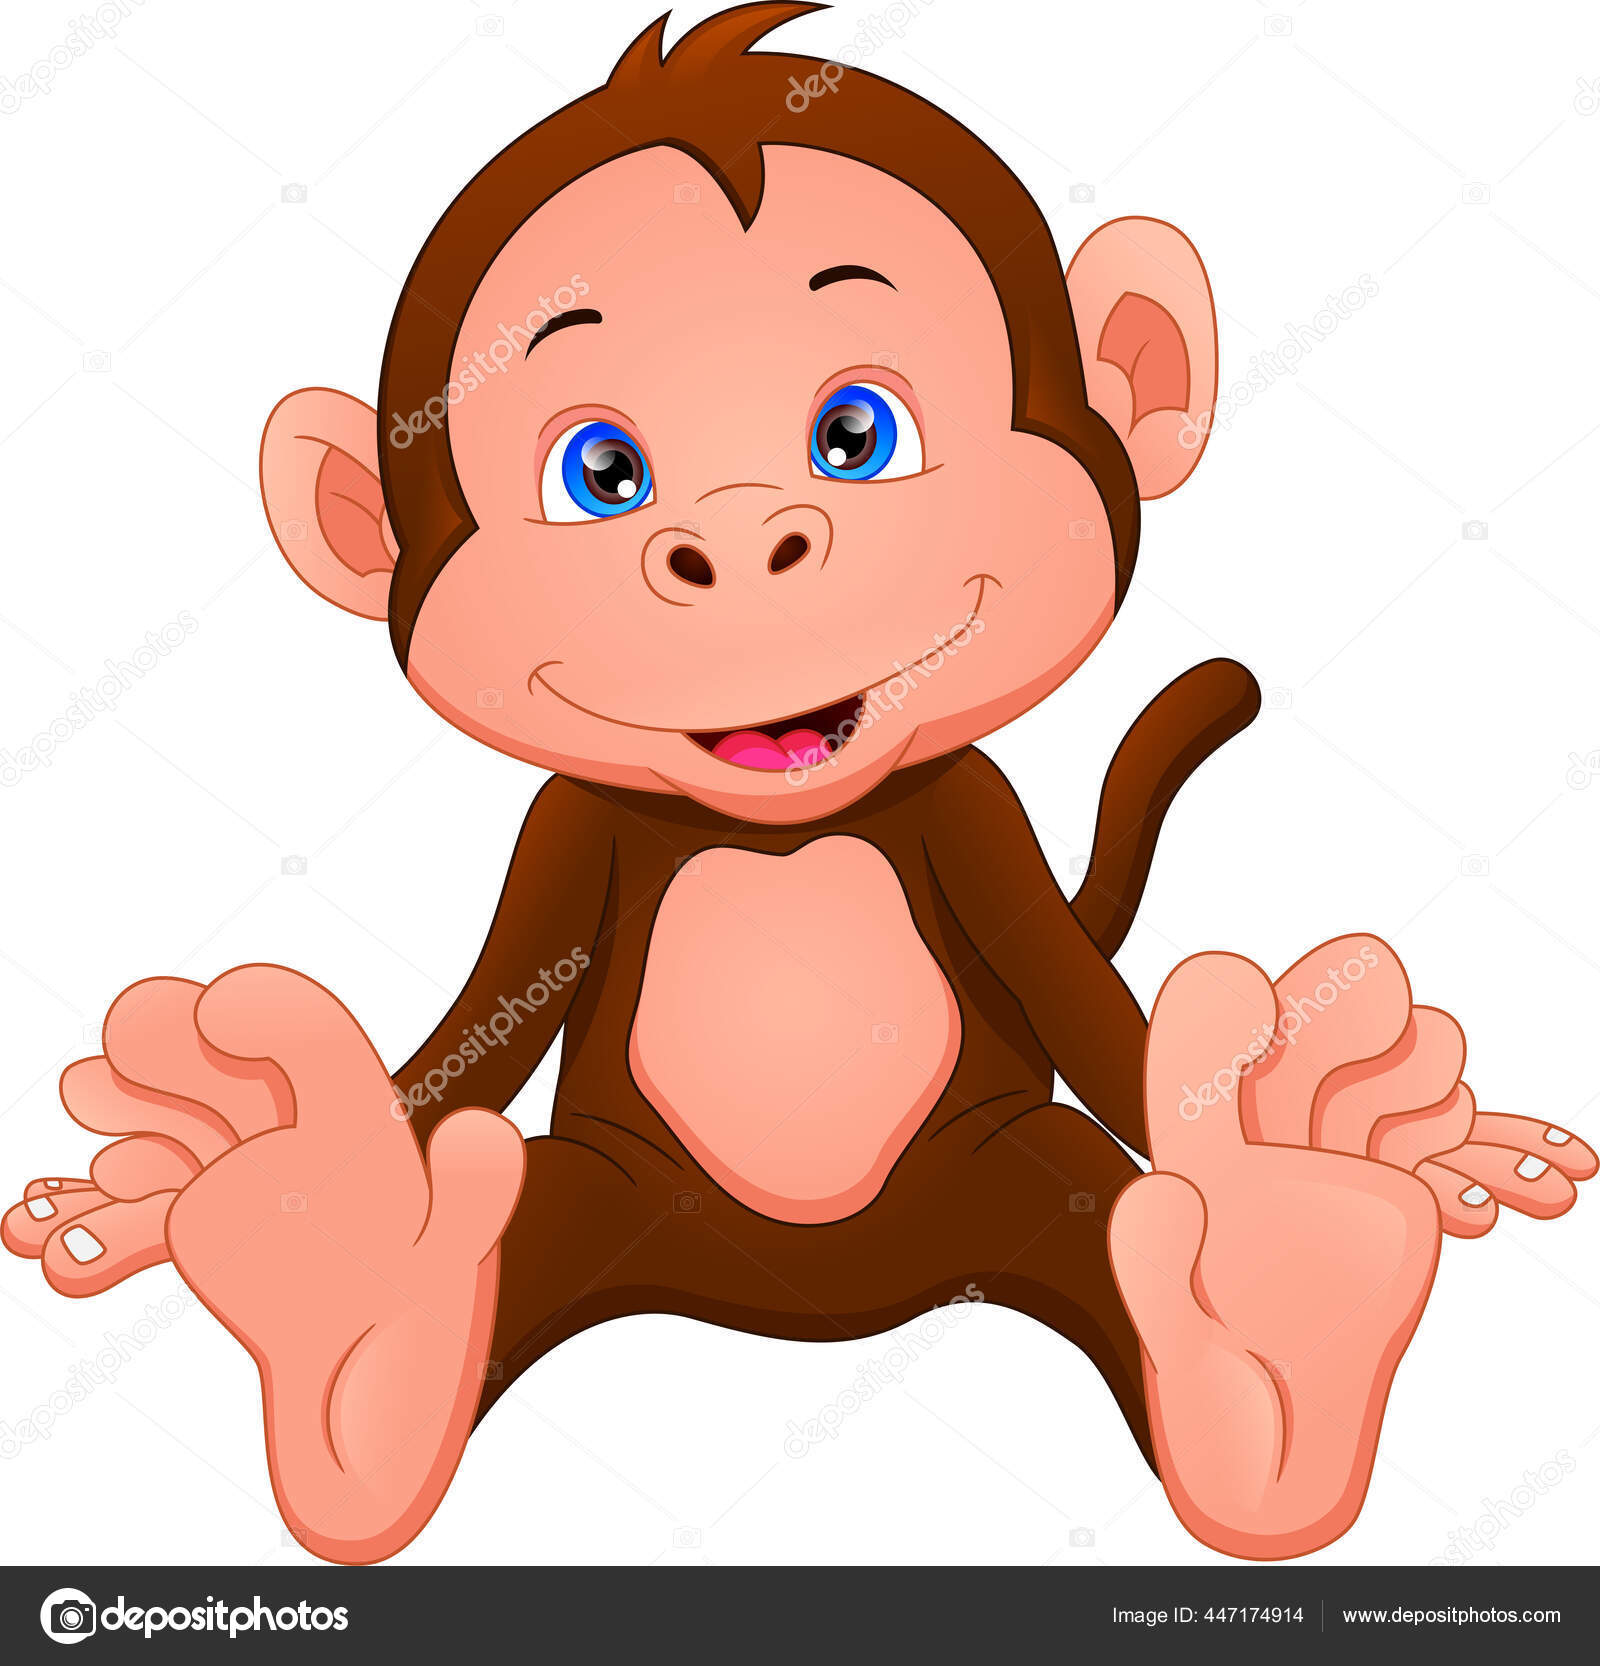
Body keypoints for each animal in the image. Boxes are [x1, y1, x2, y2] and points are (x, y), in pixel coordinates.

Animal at [5, 2, 1593, 1565]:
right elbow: (465, 1042)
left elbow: (1109, 1026)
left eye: (856, 435)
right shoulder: (563, 835)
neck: (783, 827)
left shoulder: (972, 813)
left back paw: (1291, 1280)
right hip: (610, 1190)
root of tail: (803, 1300)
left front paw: (1394, 1136)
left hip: (1003, 1171)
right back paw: (334, 1303)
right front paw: (171, 1183)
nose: (739, 538)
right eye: (603, 471)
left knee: (1117, 1230)